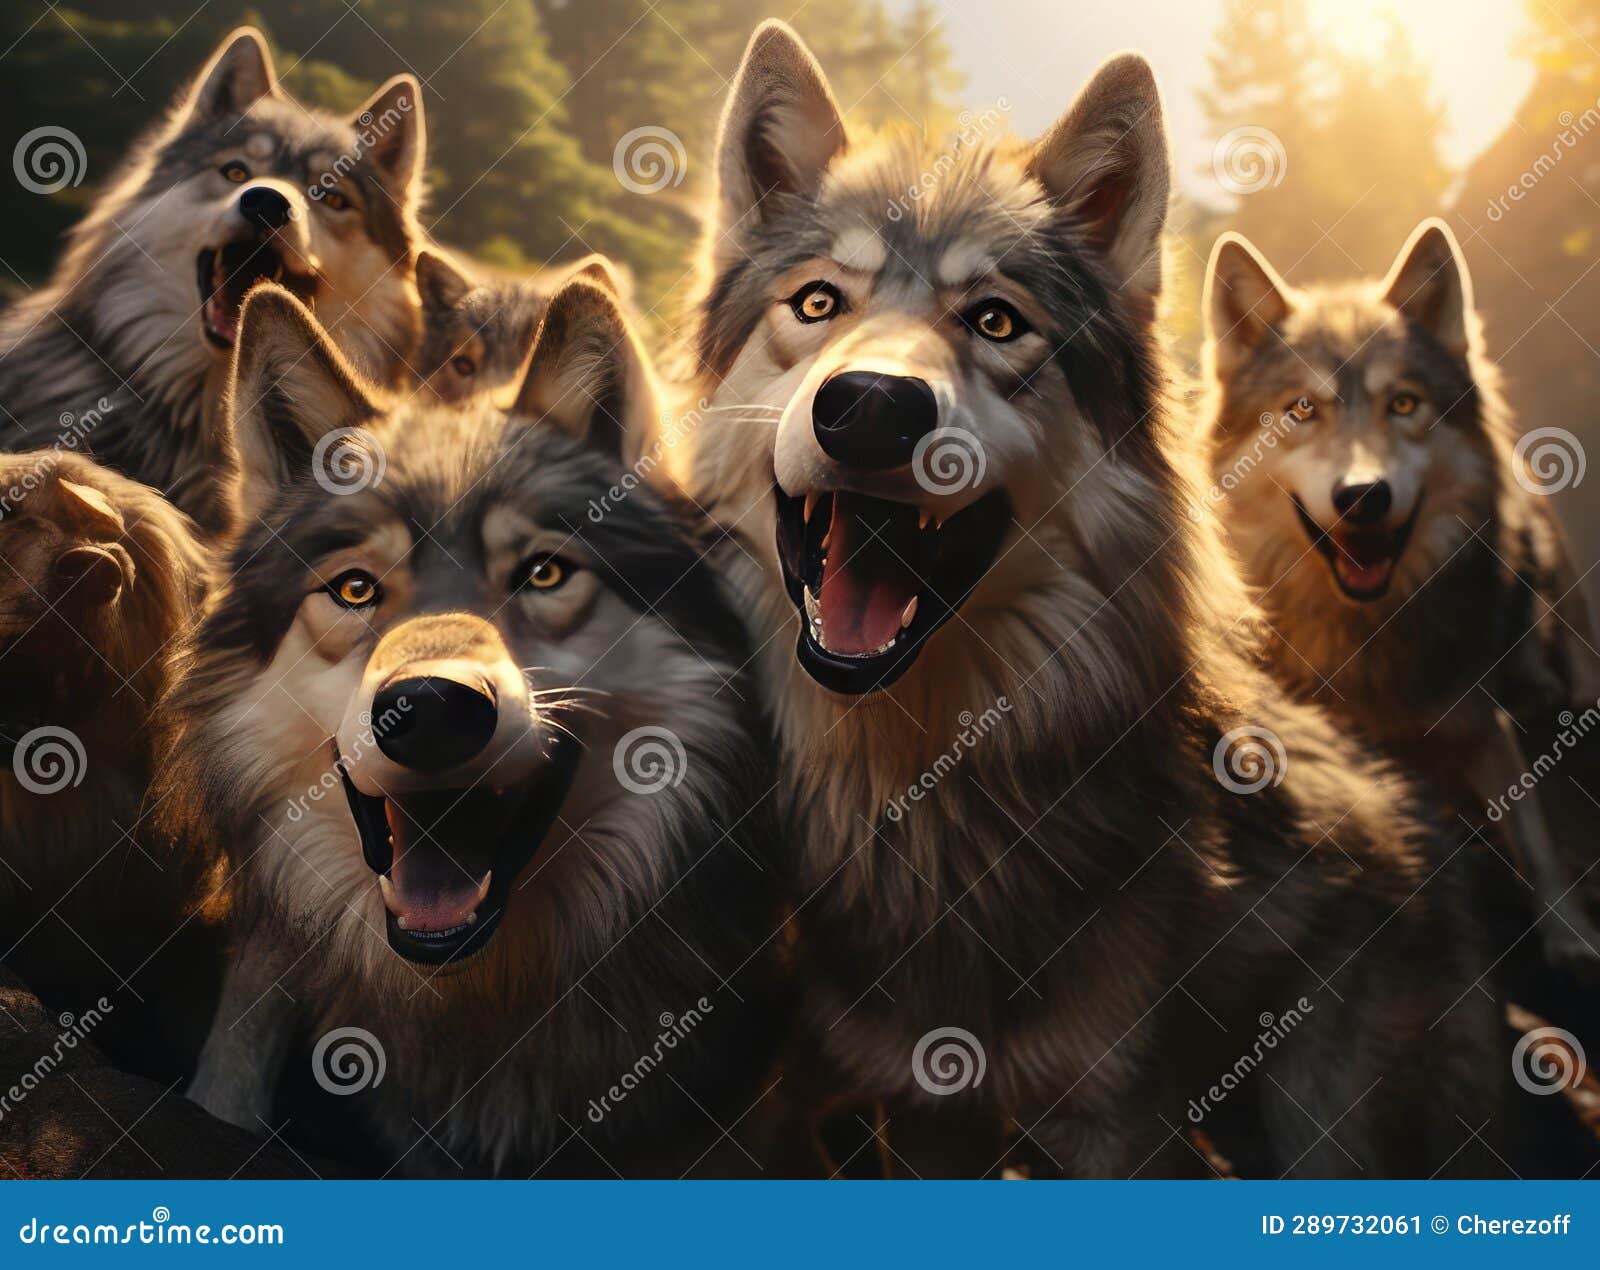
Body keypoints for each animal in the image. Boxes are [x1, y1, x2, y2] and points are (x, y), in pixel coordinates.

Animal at [679, 21, 1503, 1177]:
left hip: (1322, 1120)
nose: (872, 407)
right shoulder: (925, 1105)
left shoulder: (1117, 1117)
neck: (923, 793)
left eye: (995, 321)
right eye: (816, 304)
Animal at [1200, 223, 1600, 979]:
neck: (1364, 639)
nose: (1364, 496)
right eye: (1302, 409)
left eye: (1404, 405)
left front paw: (1569, 935)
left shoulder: (1479, 722)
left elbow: (1533, 835)